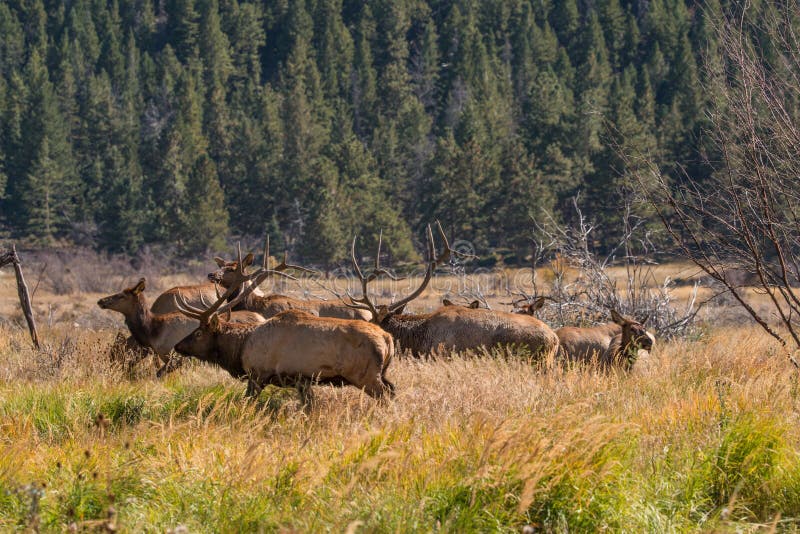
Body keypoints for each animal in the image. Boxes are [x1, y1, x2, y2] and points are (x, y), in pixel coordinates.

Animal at [173, 255, 395, 402]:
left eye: (199, 332)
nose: (177, 346)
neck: (241, 347)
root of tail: (388, 338)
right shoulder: (302, 380)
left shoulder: (258, 375)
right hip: (382, 372)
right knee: (393, 390)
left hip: (366, 375)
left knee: (385, 395)